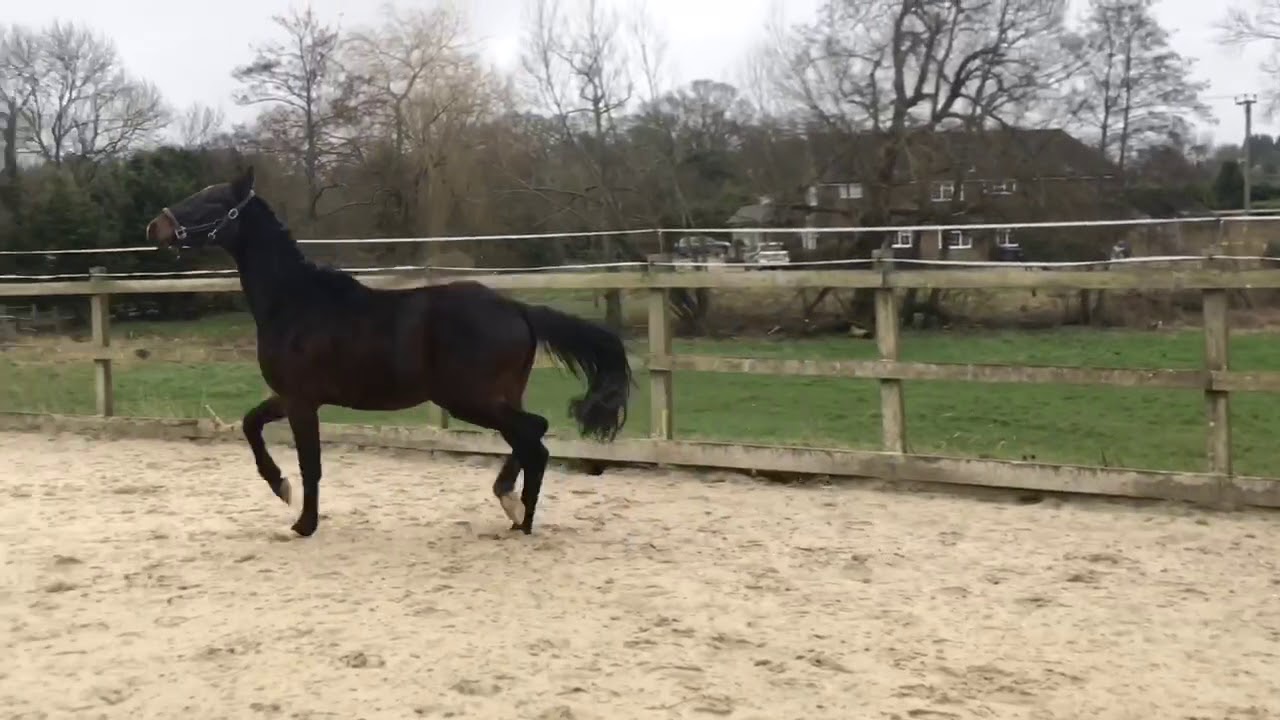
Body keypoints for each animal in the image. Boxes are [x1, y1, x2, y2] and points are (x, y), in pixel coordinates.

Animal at [144, 166, 632, 537]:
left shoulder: (302, 401)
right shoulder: (290, 397)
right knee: (530, 436)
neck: (295, 302)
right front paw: (279, 487)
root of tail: (517, 309)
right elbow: (250, 425)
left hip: (469, 399)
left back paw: (522, 519)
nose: (155, 226)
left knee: (535, 436)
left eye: (209, 202)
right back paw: (512, 507)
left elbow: (310, 464)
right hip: (496, 397)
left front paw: (303, 522)